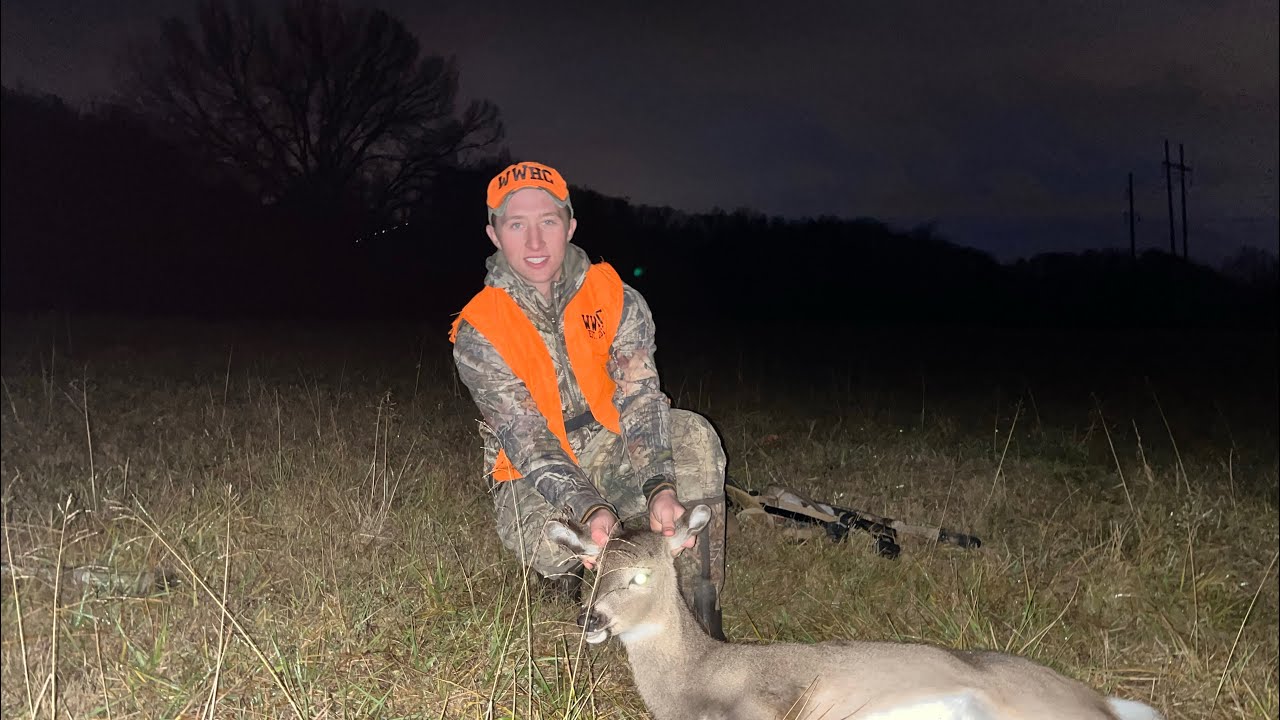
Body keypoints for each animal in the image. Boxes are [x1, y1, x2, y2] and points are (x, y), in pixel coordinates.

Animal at [546, 504, 1165, 720]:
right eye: (593, 572)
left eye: (641, 576)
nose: (590, 621)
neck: (698, 679)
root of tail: (1103, 700)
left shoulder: (771, 707)